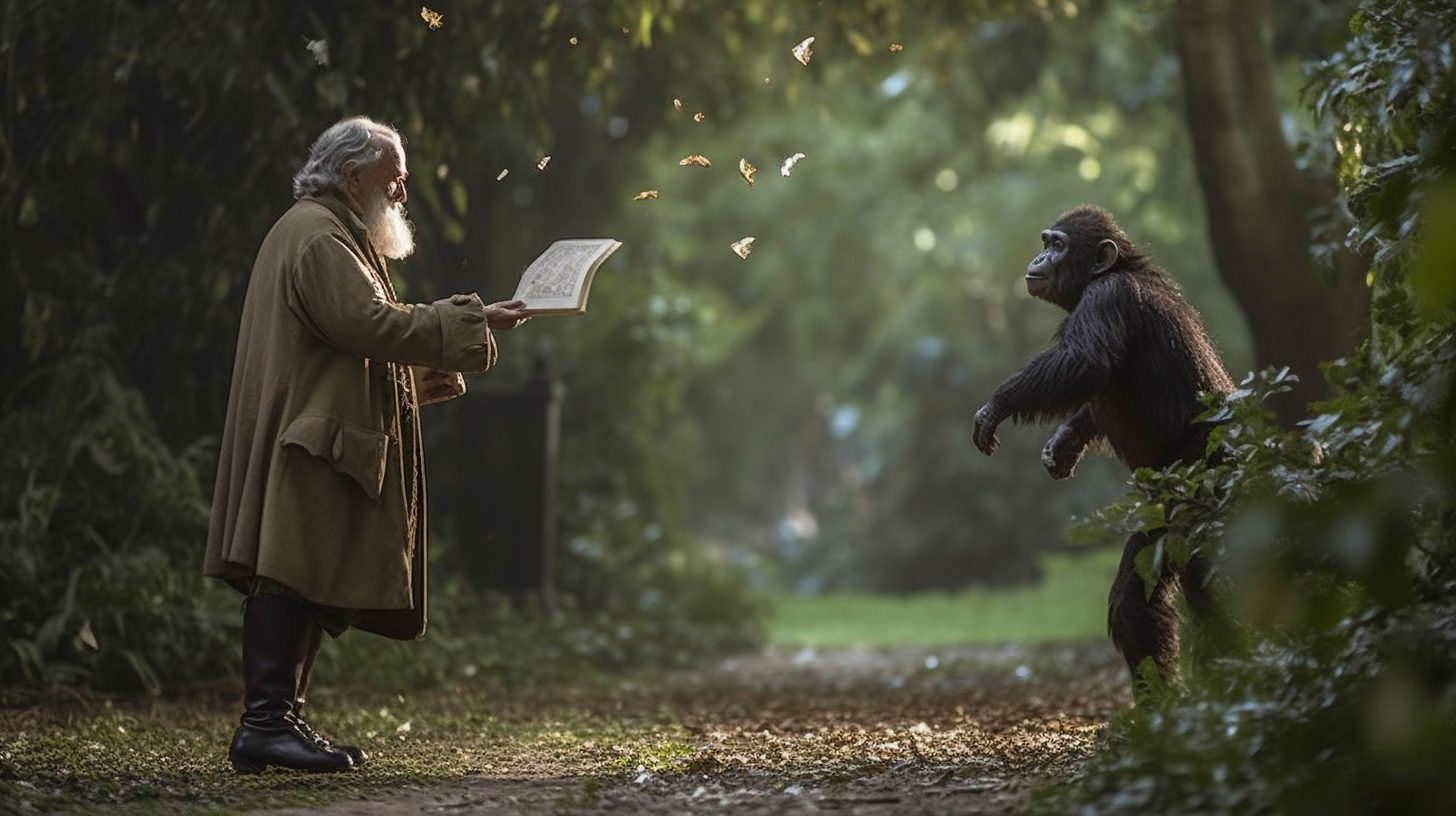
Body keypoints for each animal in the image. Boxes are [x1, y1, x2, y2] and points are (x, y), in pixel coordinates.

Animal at [971, 205, 1234, 687]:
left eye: (1057, 245)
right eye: (1045, 242)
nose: (1040, 258)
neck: (1115, 271)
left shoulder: (1106, 298)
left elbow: (1085, 362)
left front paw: (996, 406)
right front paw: (1063, 444)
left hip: (1202, 483)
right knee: (1143, 598)